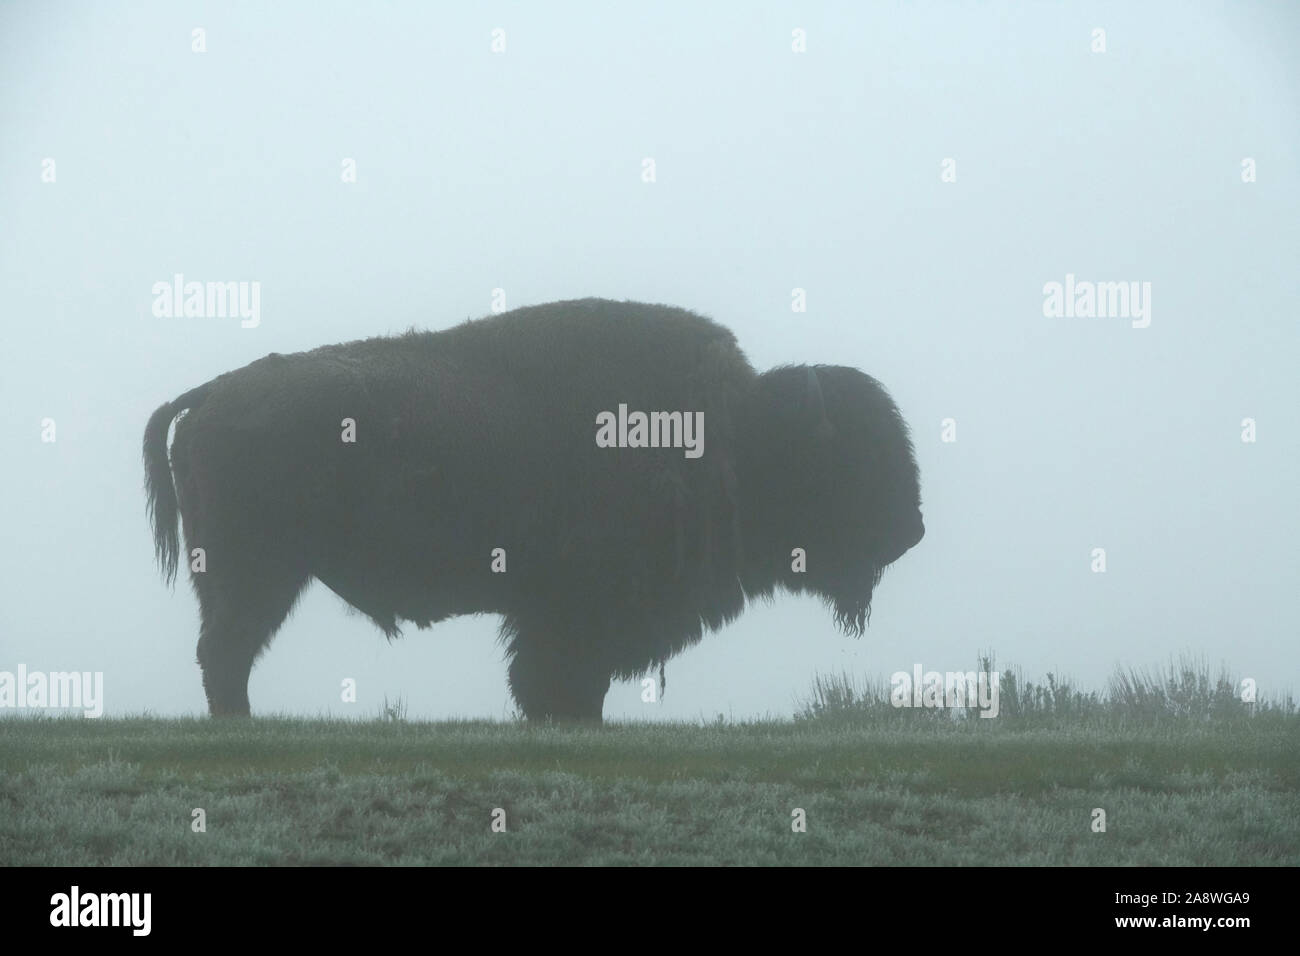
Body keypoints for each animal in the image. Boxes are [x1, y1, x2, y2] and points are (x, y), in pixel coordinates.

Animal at [144, 298, 924, 720]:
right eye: (850, 461)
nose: (911, 530)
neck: (734, 430)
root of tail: (212, 393)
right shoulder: (577, 609)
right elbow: (561, 673)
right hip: (255, 570)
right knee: (226, 649)